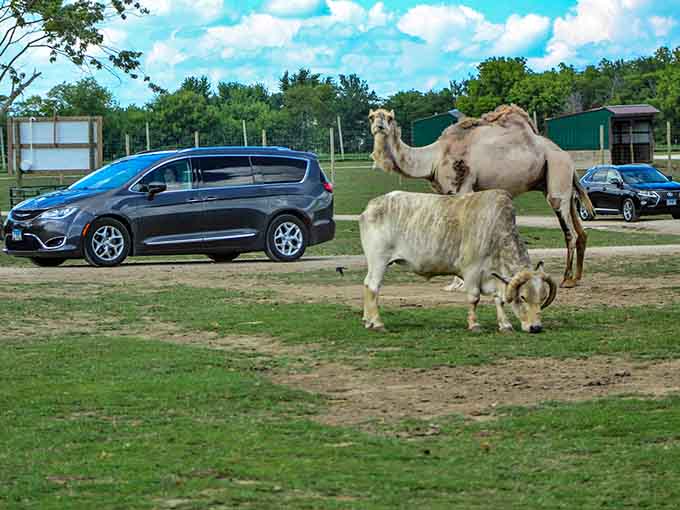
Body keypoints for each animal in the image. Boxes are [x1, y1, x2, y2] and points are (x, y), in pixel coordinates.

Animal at [368, 105, 594, 288]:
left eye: (389, 118)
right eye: (372, 117)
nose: (379, 126)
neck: (433, 158)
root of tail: (566, 157)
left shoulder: (463, 188)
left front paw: (458, 282)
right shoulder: (447, 193)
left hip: (557, 174)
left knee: (569, 231)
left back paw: (566, 279)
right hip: (559, 184)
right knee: (580, 229)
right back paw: (576, 278)